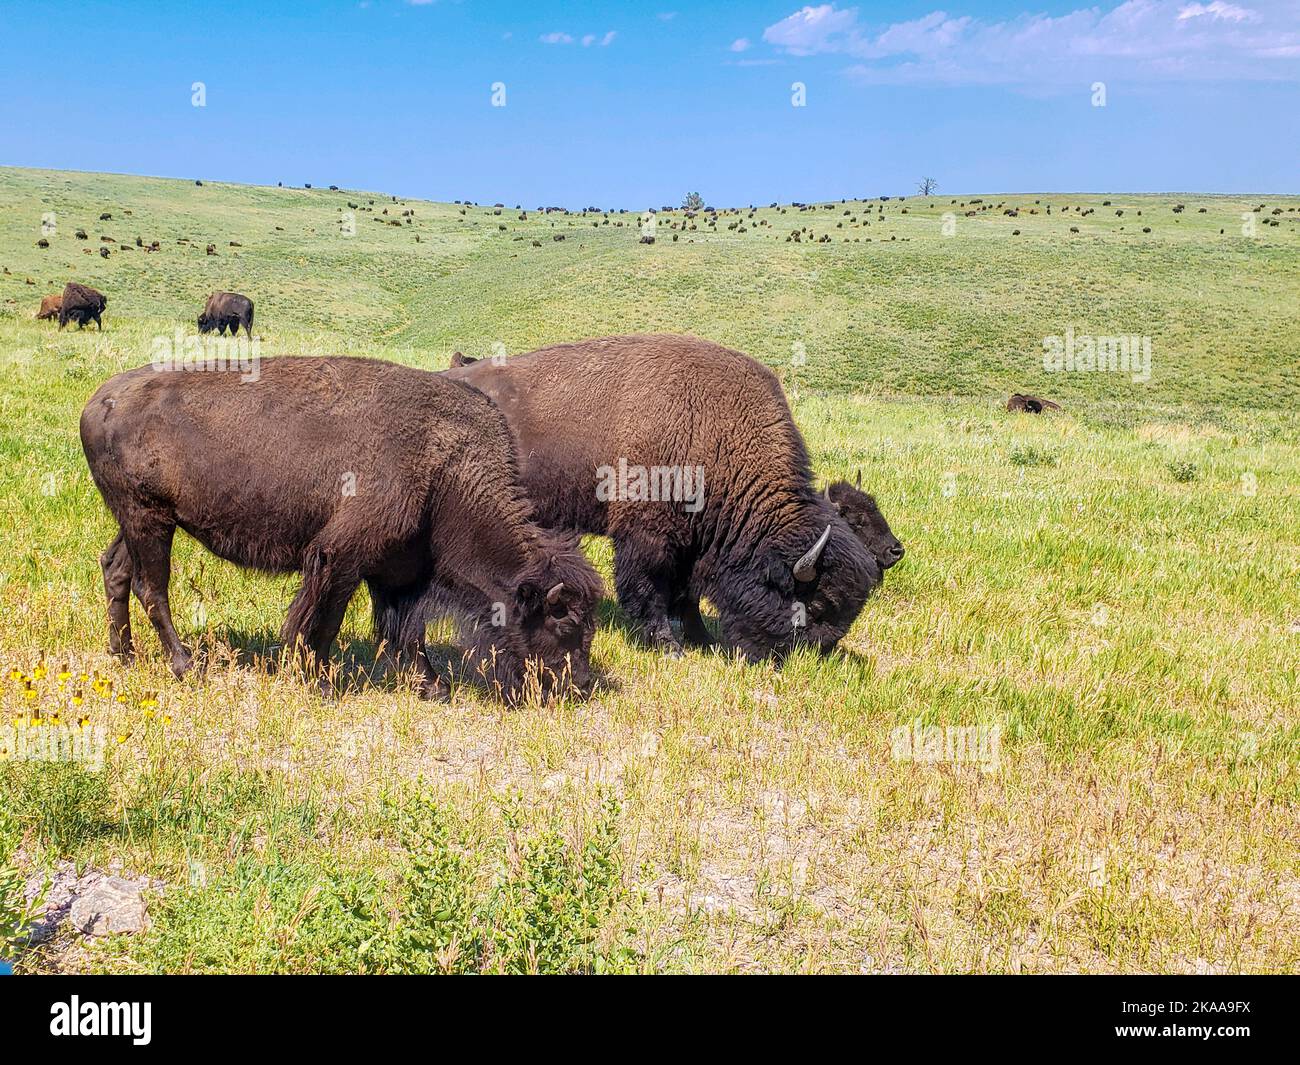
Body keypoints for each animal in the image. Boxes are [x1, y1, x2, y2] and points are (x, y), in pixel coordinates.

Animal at [80, 356, 602, 700]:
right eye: (564, 622)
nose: (577, 684)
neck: (448, 467)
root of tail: (99, 400)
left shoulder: (397, 572)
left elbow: (405, 632)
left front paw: (431, 686)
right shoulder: (341, 557)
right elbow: (325, 620)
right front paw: (316, 678)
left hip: (142, 521)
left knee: (116, 568)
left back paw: (124, 655)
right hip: (148, 519)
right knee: (152, 587)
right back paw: (186, 666)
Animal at [447, 334, 896, 662]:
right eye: (815, 606)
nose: (810, 659)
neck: (719, 434)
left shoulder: (695, 542)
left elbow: (688, 592)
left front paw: (702, 639)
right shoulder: (649, 538)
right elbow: (652, 590)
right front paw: (668, 646)